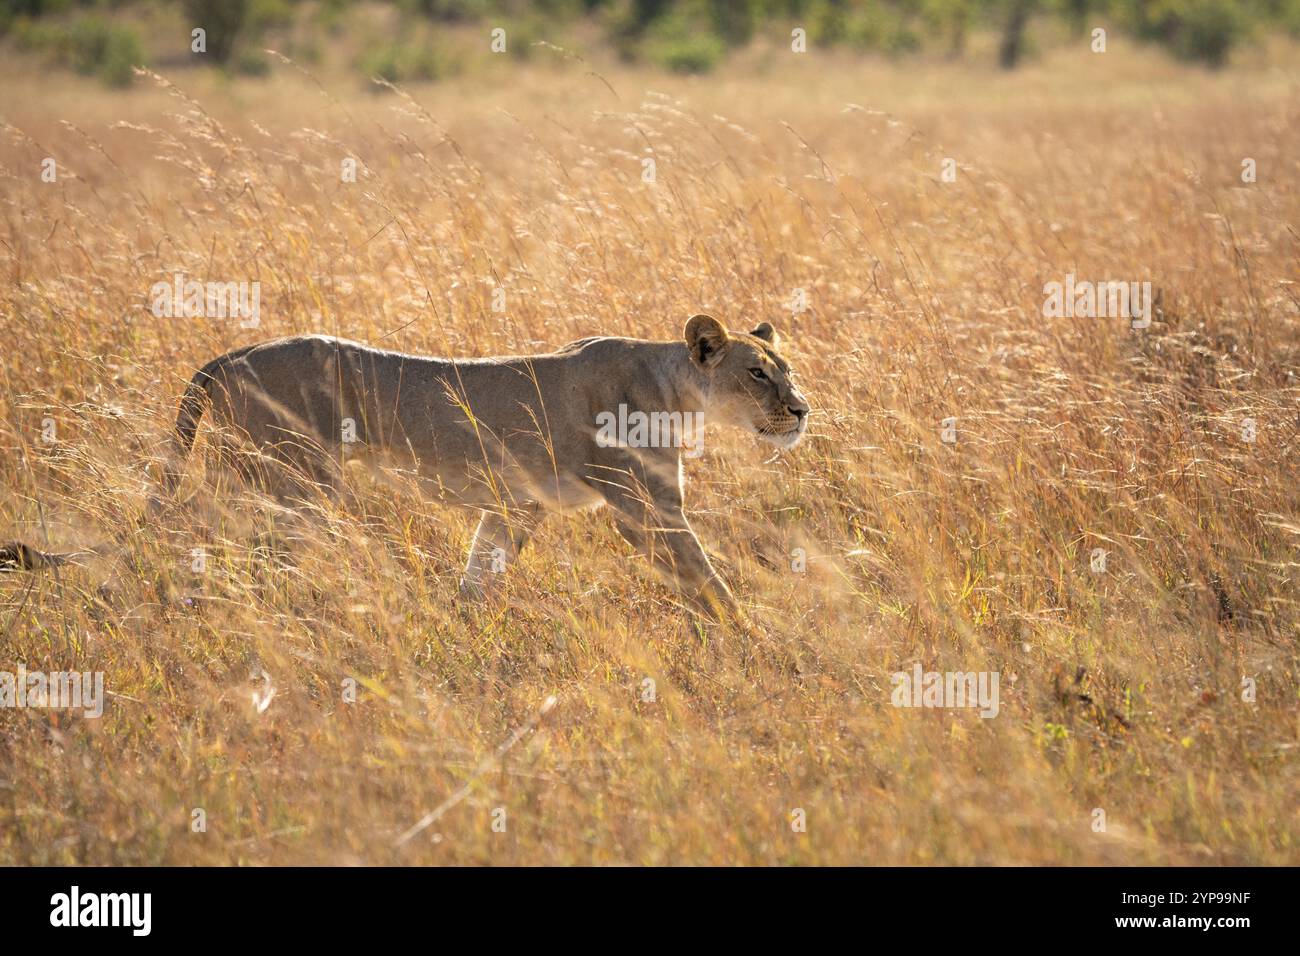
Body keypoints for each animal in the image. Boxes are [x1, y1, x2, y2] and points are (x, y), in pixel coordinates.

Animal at [2, 314, 810, 620]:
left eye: (788, 370)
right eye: (758, 373)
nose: (802, 410)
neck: (682, 389)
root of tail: (227, 354)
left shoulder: (519, 504)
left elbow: (482, 567)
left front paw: (461, 629)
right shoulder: (645, 509)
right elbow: (706, 579)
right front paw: (755, 638)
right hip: (290, 479)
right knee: (201, 539)